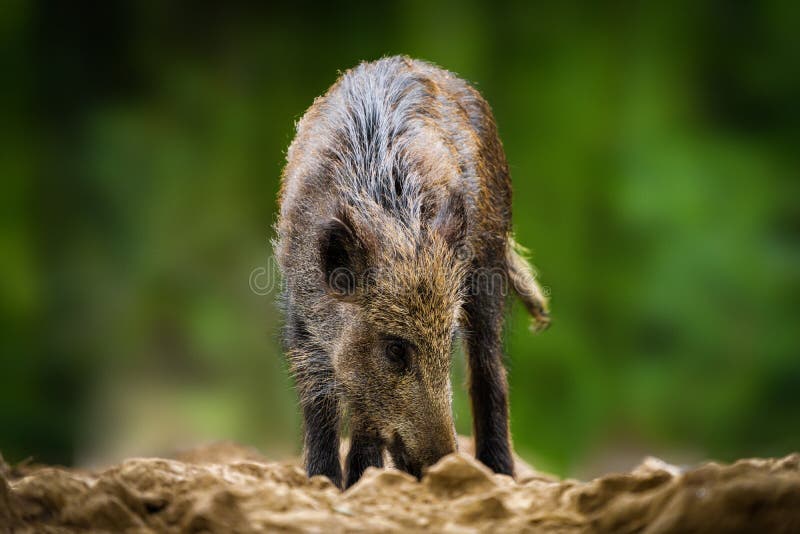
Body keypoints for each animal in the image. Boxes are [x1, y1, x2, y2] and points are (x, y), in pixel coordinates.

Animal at [275, 56, 549, 489]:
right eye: (395, 349)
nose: (441, 464)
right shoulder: (301, 309)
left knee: (489, 370)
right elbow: (320, 398)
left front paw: (362, 481)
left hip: (487, 264)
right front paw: (325, 483)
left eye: (446, 345)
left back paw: (500, 475)